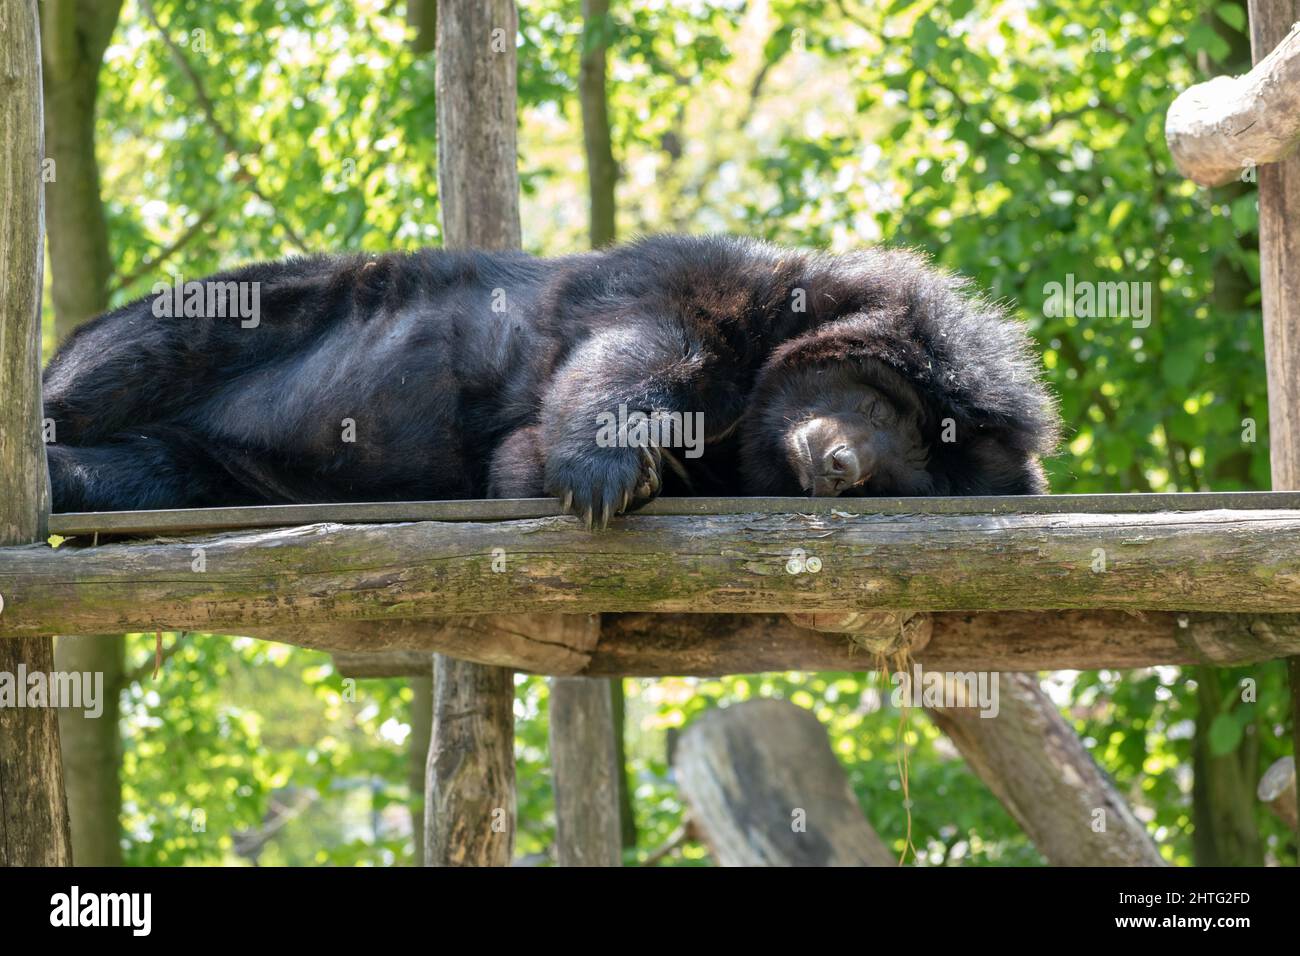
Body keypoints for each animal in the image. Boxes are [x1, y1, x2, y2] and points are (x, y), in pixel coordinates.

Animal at [42, 234, 1060, 525]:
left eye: (915, 472)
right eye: (883, 404)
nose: (843, 465)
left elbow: (515, 459)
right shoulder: (699, 281)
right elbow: (637, 346)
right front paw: (607, 474)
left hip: (206, 469)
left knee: (142, 474)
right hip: (273, 305)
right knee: (128, 358)